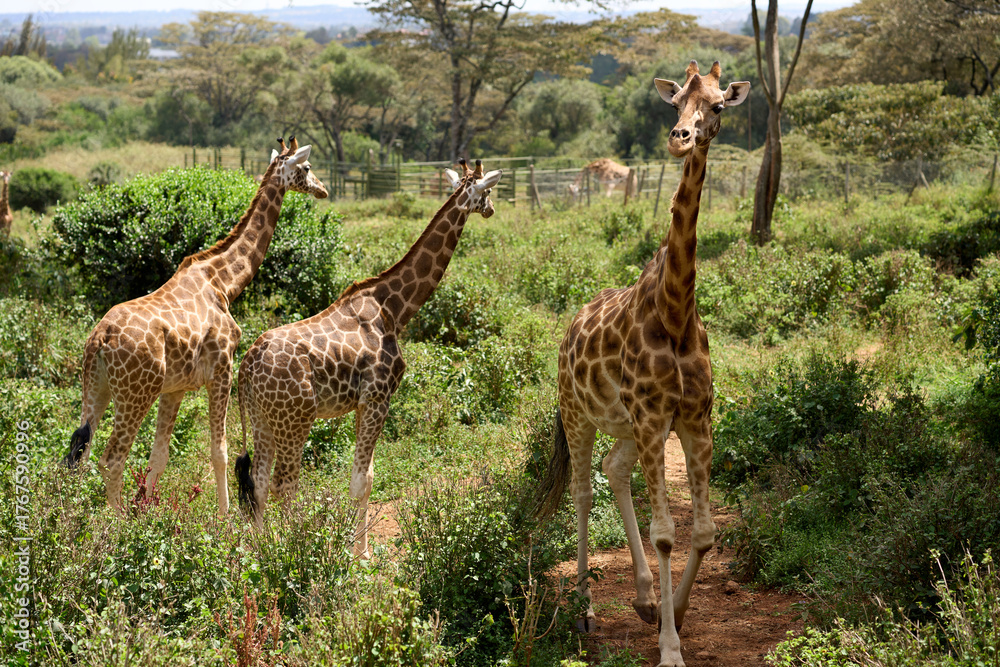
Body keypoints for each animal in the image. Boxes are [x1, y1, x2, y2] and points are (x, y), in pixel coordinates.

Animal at [64, 137, 328, 517]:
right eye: (306, 168)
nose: (323, 189)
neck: (223, 281)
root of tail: (100, 338)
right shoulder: (222, 370)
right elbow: (219, 452)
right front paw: (224, 518)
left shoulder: (174, 389)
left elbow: (159, 457)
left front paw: (149, 512)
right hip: (135, 393)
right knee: (111, 459)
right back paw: (117, 523)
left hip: (95, 386)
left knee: (79, 452)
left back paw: (73, 518)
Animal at [234, 159, 502, 556]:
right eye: (488, 190)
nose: (491, 210)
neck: (394, 308)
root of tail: (247, 367)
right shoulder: (379, 397)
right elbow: (362, 479)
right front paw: (357, 554)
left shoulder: (361, 403)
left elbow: (367, 476)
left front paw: (359, 548)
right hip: (296, 419)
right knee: (285, 484)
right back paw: (296, 550)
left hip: (261, 419)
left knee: (260, 481)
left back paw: (259, 552)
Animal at [537, 61, 749, 667]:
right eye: (675, 103)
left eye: (718, 106)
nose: (680, 138)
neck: (675, 311)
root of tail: (568, 326)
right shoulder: (657, 420)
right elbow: (666, 534)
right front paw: (671, 650)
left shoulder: (694, 420)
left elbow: (702, 533)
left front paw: (670, 611)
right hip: (577, 415)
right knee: (583, 491)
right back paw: (585, 611)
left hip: (628, 426)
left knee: (614, 470)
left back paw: (642, 598)